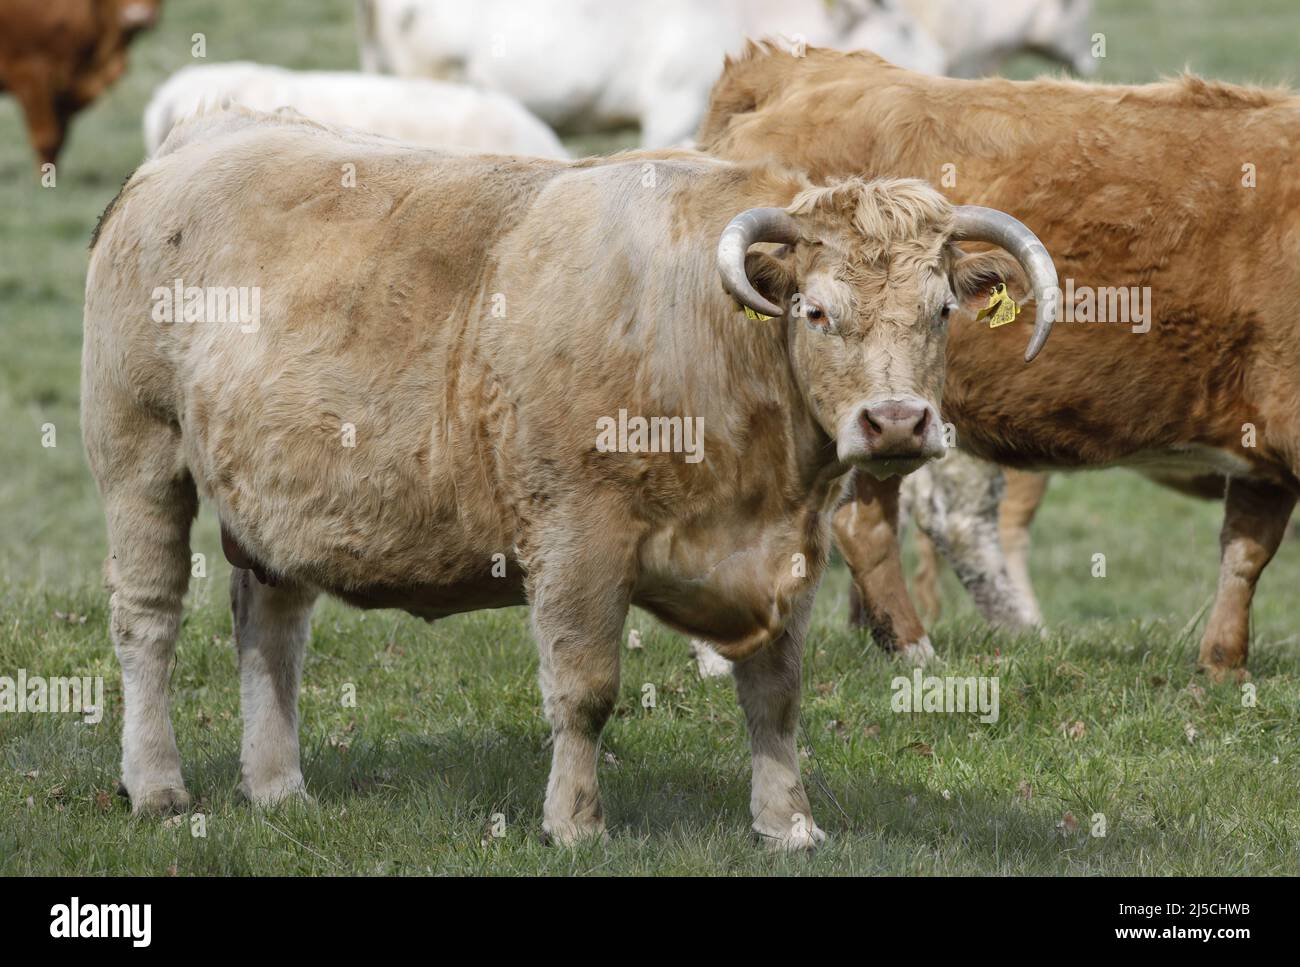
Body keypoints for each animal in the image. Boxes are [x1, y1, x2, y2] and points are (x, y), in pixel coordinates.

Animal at [82, 105, 1057, 847]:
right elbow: (584, 690)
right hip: (138, 457)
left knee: (270, 625)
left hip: (278, 497)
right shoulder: (578, 535)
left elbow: (776, 694)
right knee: (147, 620)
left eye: (941, 309)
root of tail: (208, 134)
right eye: (816, 311)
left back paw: (279, 785)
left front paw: (787, 824)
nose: (895, 420)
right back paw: (157, 784)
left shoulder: (789, 550)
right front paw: (575, 822)